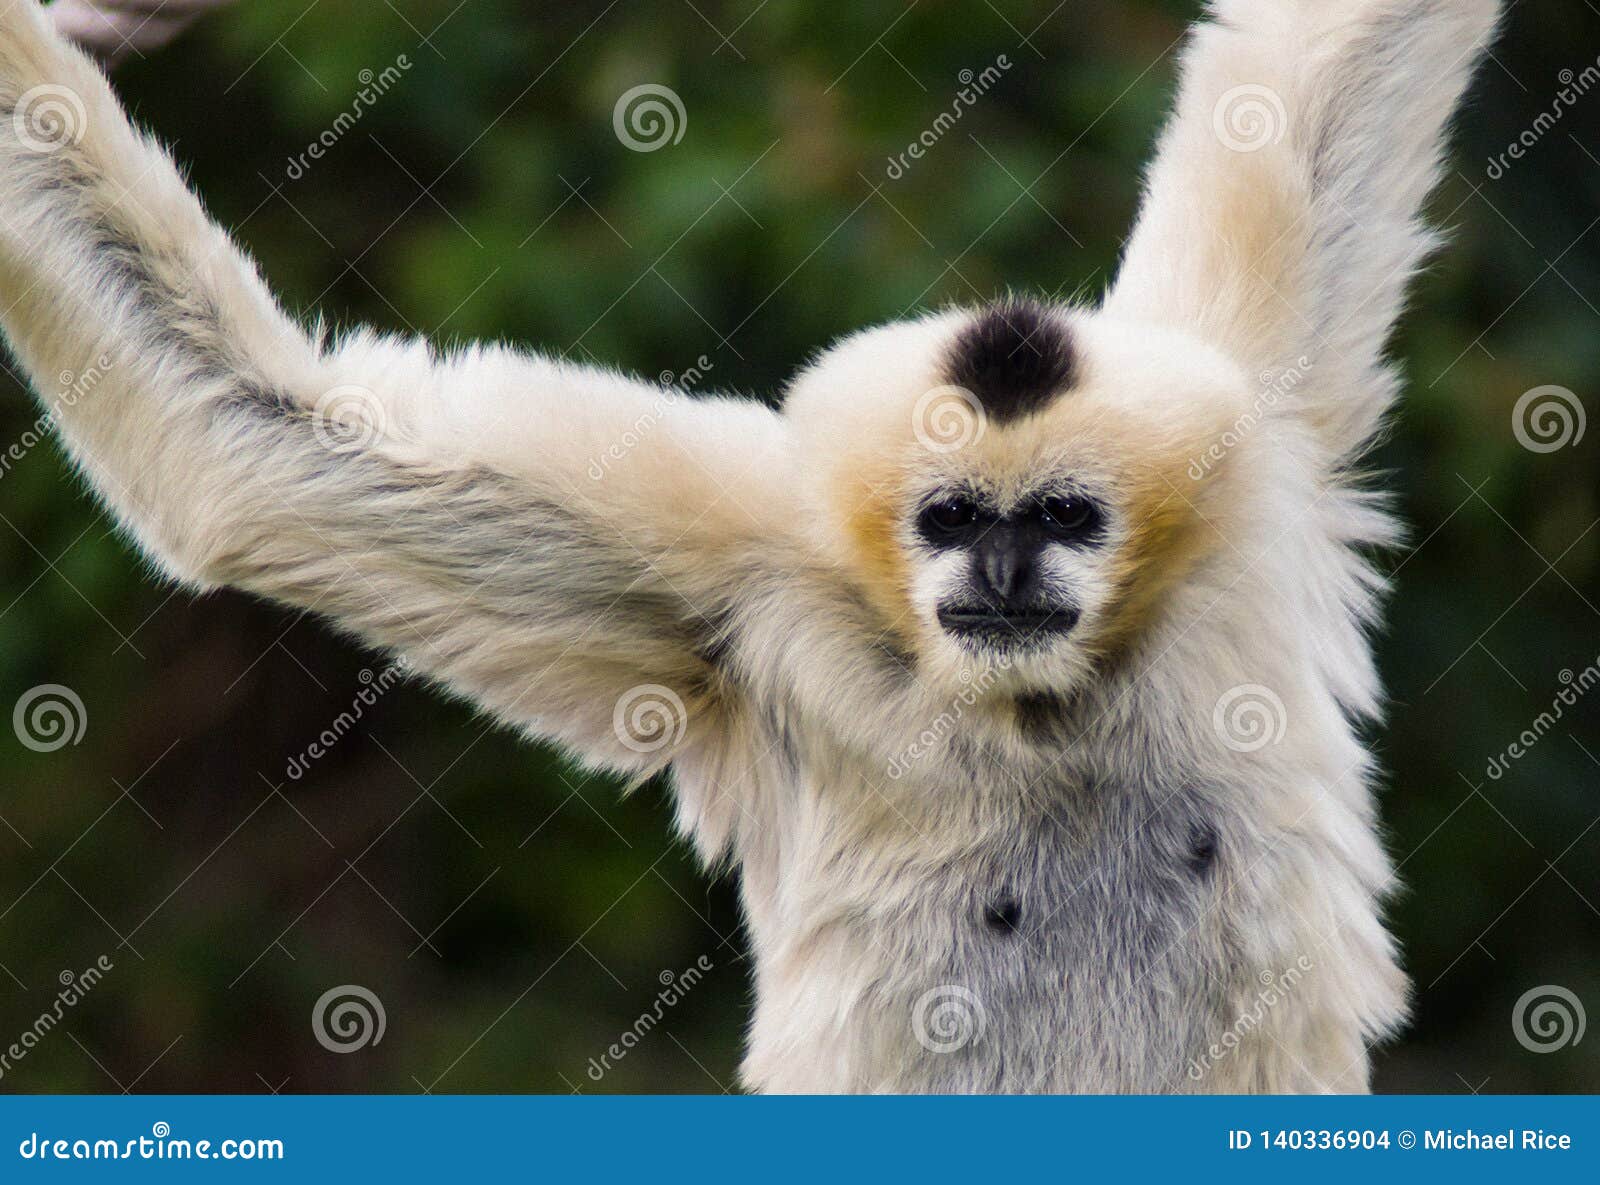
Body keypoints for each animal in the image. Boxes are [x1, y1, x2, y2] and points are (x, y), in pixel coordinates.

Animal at [0, 0, 1500, 1092]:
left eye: (1065, 516)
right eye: (953, 518)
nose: (1002, 572)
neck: (1034, 704)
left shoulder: (1252, 455)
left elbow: (1329, 58)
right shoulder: (739, 578)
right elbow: (257, 449)